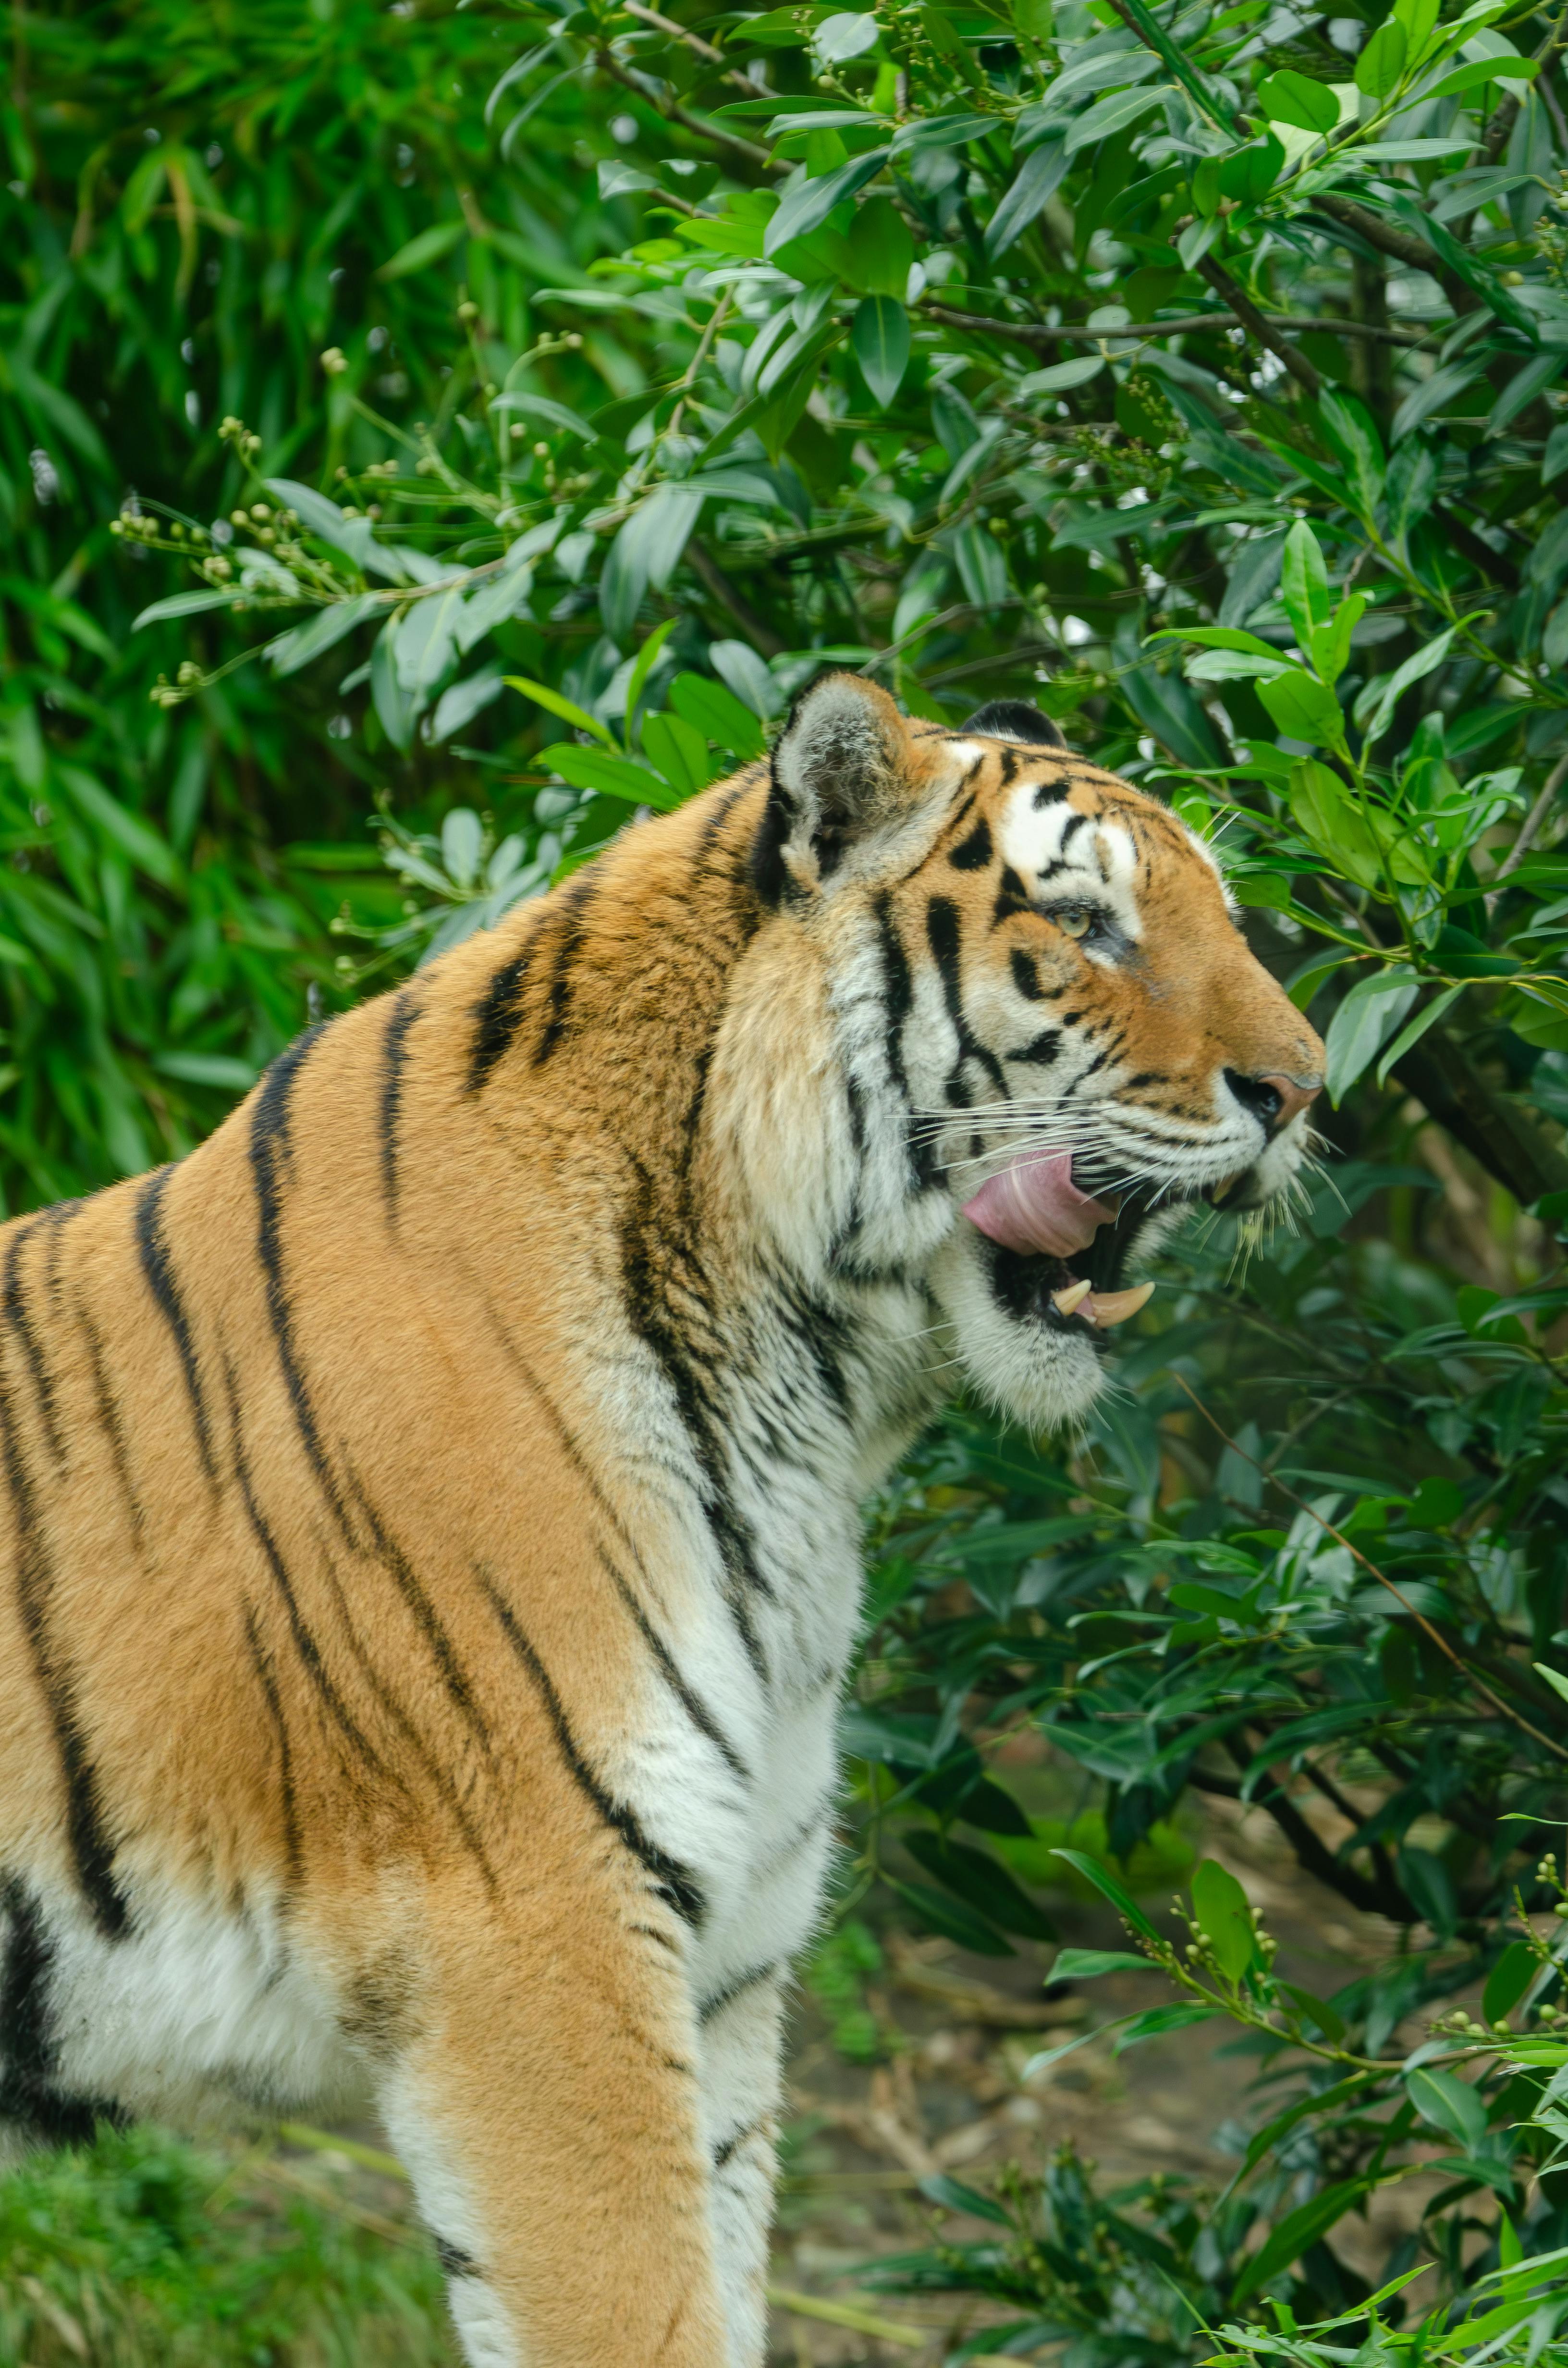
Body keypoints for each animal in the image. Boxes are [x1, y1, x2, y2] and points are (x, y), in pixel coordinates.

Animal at [0, 671, 1323, 2367]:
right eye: (1086, 921)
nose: (1308, 1091)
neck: (812, 1417)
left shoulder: (726, 1958)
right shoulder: (537, 1945)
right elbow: (641, 2313)